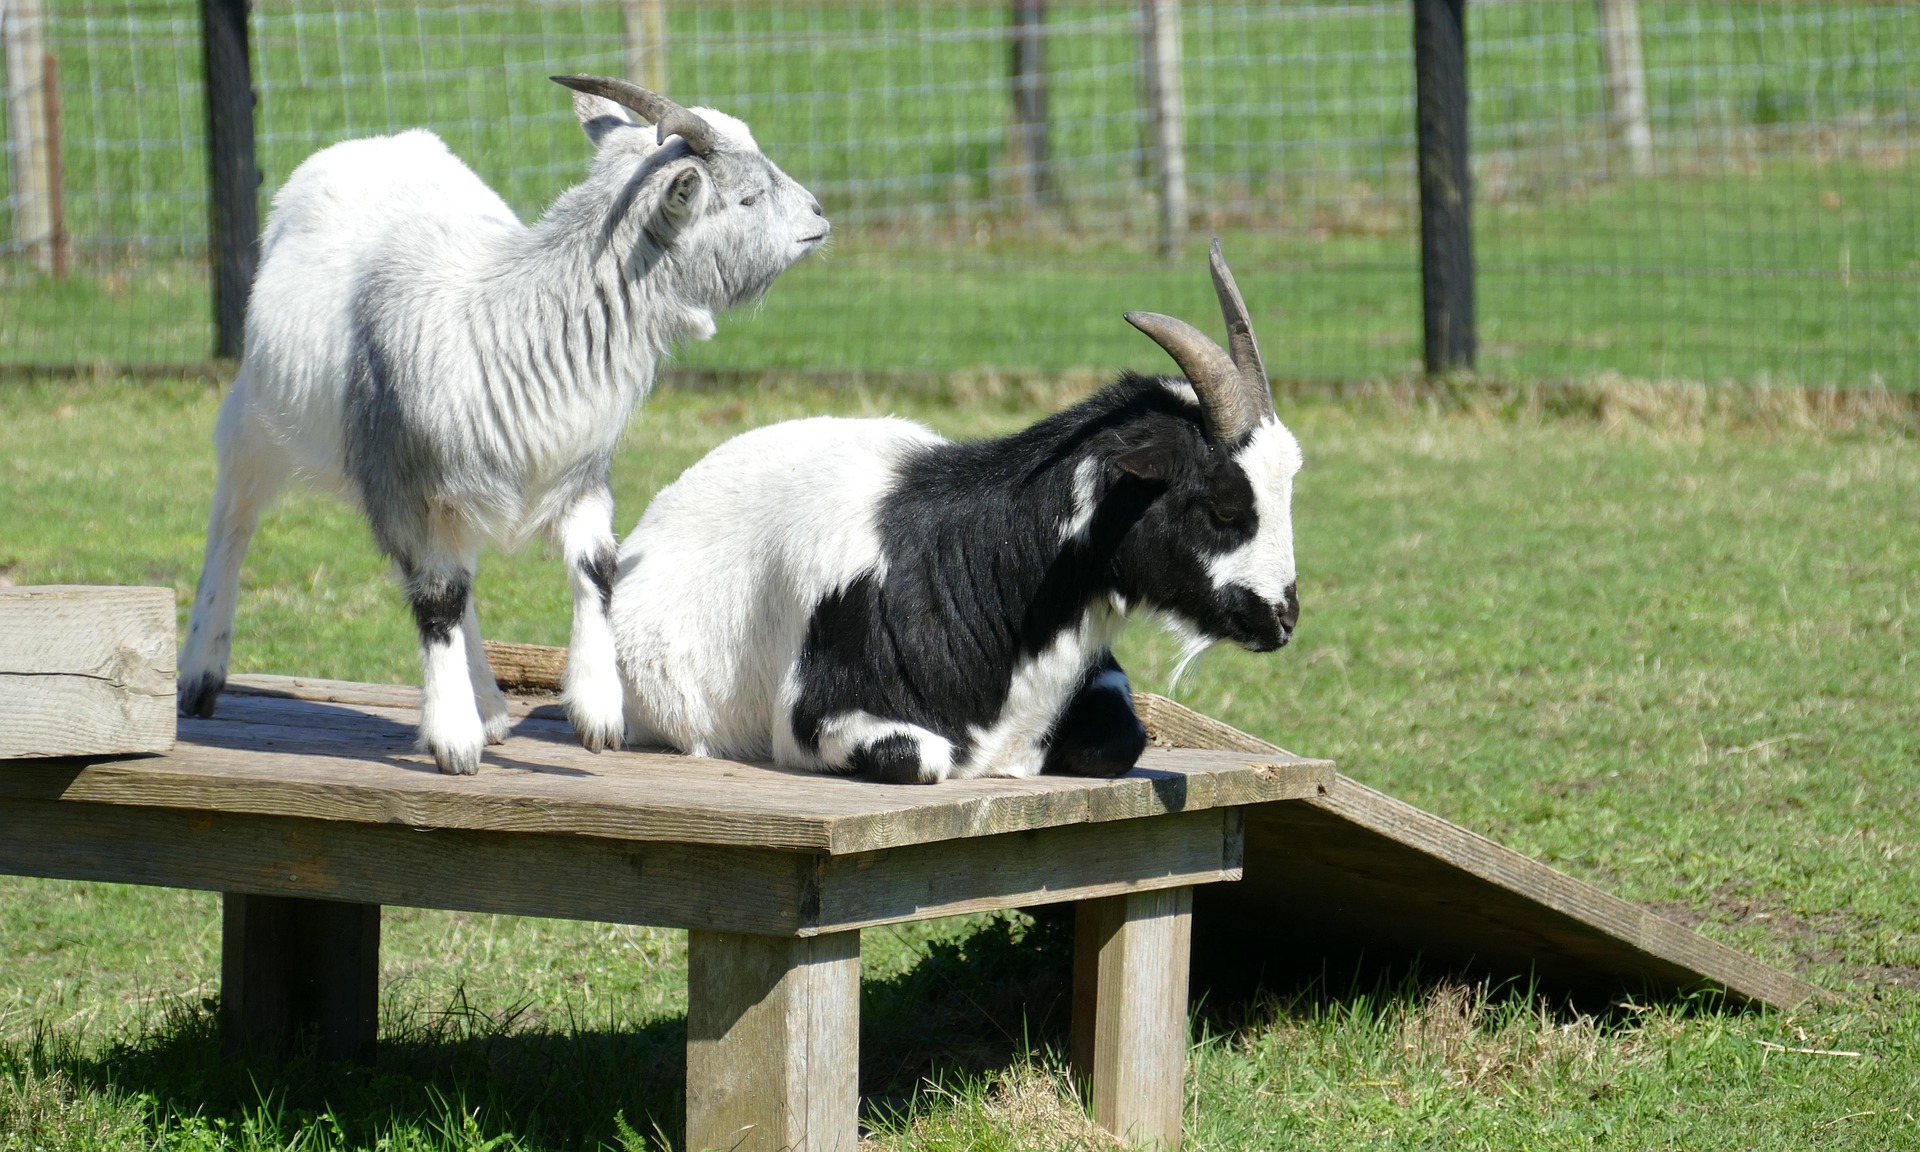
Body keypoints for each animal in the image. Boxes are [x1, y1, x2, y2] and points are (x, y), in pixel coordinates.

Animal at [177, 75, 829, 774]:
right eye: (747, 196)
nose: (820, 216)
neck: (511, 324)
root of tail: (376, 142)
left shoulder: (578, 471)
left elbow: (595, 568)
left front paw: (597, 713)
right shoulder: (406, 486)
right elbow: (436, 600)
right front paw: (452, 741)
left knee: (456, 577)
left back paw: (489, 705)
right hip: (258, 416)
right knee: (237, 516)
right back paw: (201, 674)